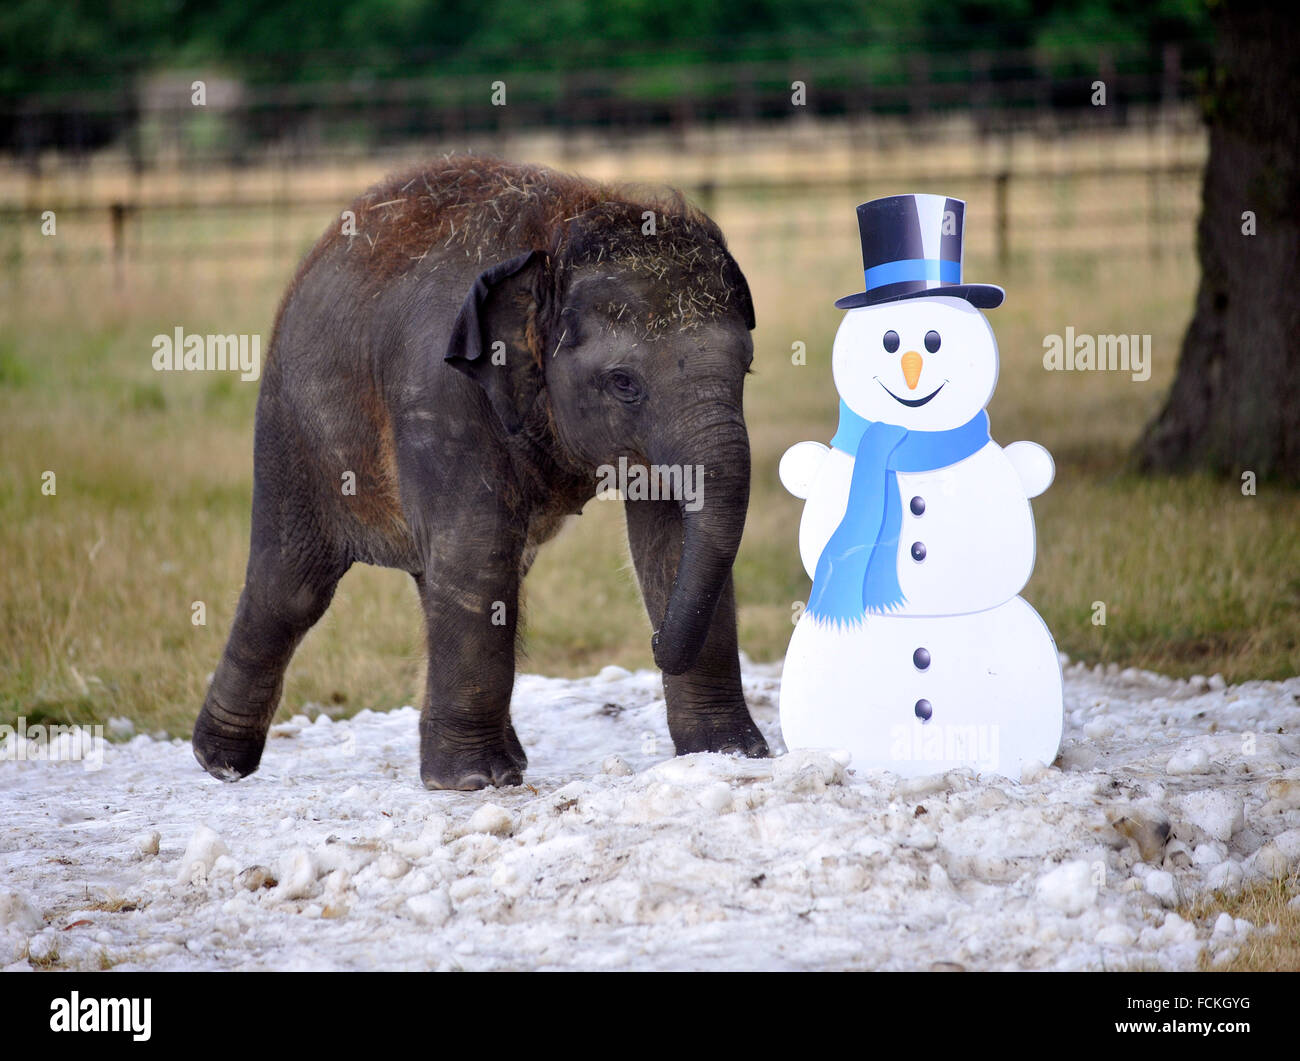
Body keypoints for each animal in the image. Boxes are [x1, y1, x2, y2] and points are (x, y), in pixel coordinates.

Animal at [191, 156, 769, 790]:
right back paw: (220, 764)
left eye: (747, 367)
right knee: (291, 587)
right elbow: (477, 545)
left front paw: (730, 755)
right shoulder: (439, 387)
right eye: (623, 383)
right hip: (292, 424)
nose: (656, 639)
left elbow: (668, 539)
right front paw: (472, 783)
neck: (558, 236)